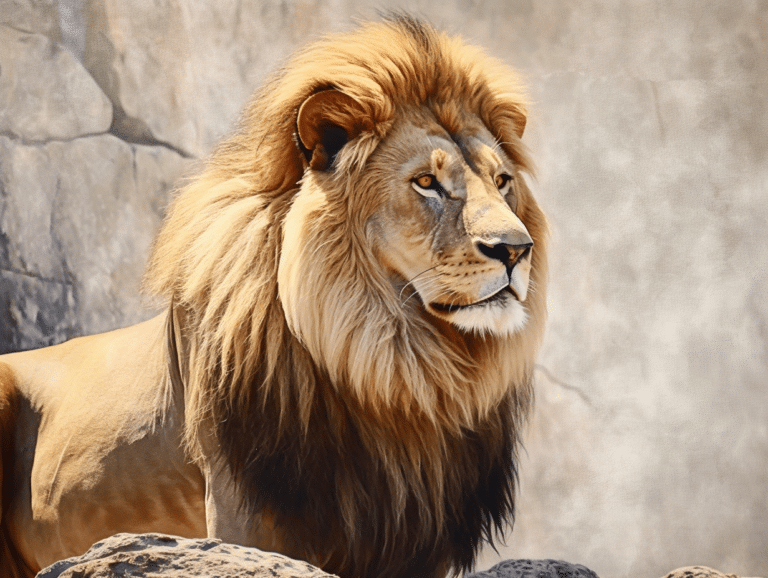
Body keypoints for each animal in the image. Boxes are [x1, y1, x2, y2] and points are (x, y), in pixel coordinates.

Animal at [0, 15, 548, 578]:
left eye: (502, 181)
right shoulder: (240, 505)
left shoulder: (420, 533)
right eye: (426, 182)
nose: (515, 248)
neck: (391, 369)